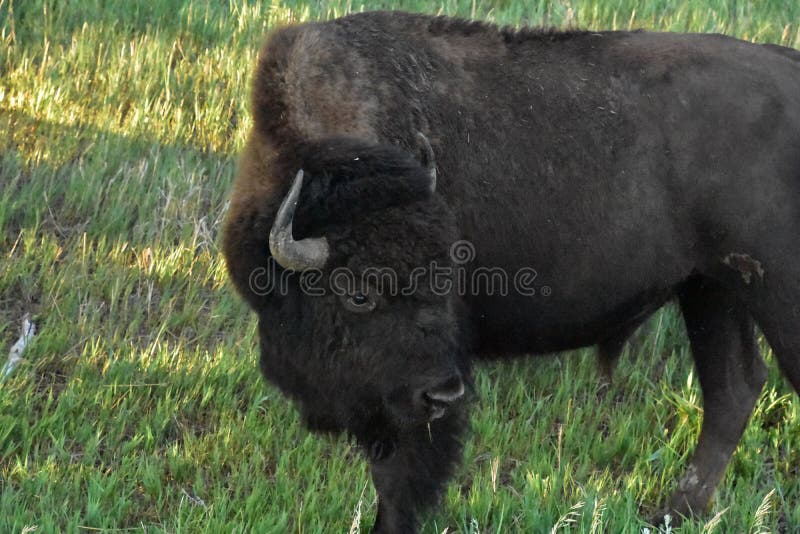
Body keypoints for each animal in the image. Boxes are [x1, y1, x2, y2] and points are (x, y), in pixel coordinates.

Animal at [222, 10, 800, 533]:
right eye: (358, 294)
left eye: (444, 277)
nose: (443, 393)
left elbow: (400, 482)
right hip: (712, 290)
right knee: (732, 390)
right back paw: (672, 514)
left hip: (771, 291)